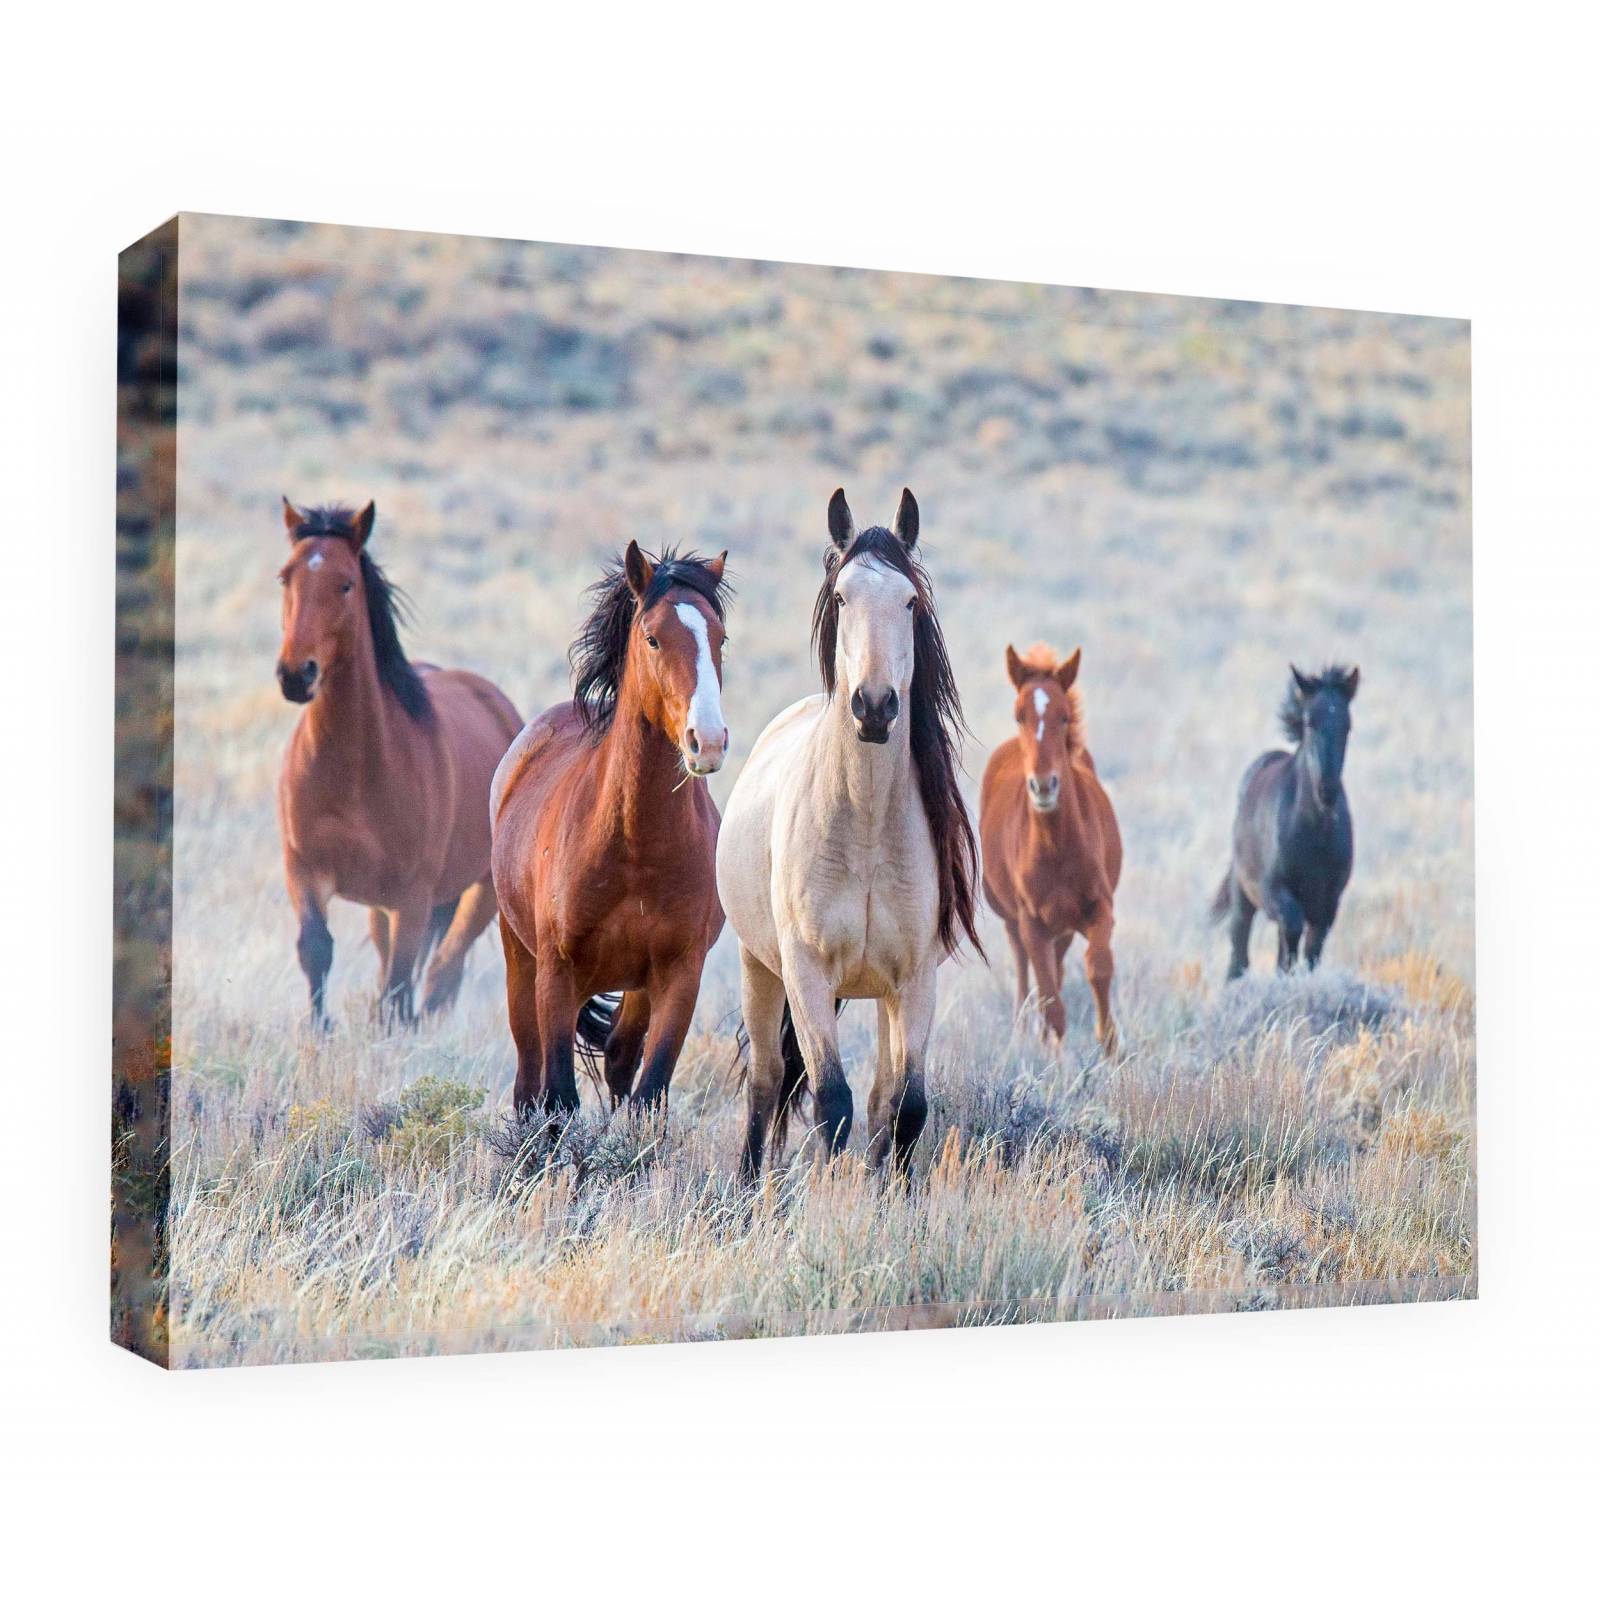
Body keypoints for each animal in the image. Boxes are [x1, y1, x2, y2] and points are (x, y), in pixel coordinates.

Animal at [275, 499, 523, 1026]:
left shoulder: (413, 899)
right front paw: (321, 1031)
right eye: (285, 577)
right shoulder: (303, 869)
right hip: (381, 908)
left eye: (346, 583)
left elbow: (399, 986)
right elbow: (317, 949)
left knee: (441, 972)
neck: (353, 772)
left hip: (480, 894)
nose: (296, 674)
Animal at [490, 543, 730, 1119]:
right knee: (529, 1077)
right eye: (653, 637)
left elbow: (649, 1092)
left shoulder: (679, 976)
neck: (635, 847)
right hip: (521, 961)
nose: (708, 741)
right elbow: (559, 1096)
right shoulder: (557, 974)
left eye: (720, 638)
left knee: (621, 1062)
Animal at [717, 487, 981, 1178]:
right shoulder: (807, 974)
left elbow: (905, 1106)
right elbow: (831, 1101)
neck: (863, 830)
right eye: (841, 597)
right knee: (766, 1082)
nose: (875, 705)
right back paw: (750, 1188)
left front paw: (891, 1196)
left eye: (910, 600)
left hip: (884, 998)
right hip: (758, 969)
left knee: (883, 1094)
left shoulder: (915, 980)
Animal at [979, 644, 1122, 1052]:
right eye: (1019, 715)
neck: (1057, 848)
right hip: (1013, 918)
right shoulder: (1033, 923)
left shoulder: (1098, 907)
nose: (1044, 786)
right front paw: (1056, 1057)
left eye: (1064, 716)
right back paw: (1023, 1027)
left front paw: (1110, 1045)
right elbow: (1050, 1001)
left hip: (1065, 924)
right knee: (1024, 965)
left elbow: (1099, 966)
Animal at [1212, 664, 1359, 978]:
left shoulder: (1327, 904)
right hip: (1243, 897)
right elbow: (1290, 935)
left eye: (1347, 726)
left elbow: (1311, 951)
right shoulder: (1274, 892)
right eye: (1309, 723)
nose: (1327, 789)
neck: (1315, 834)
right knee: (1239, 953)